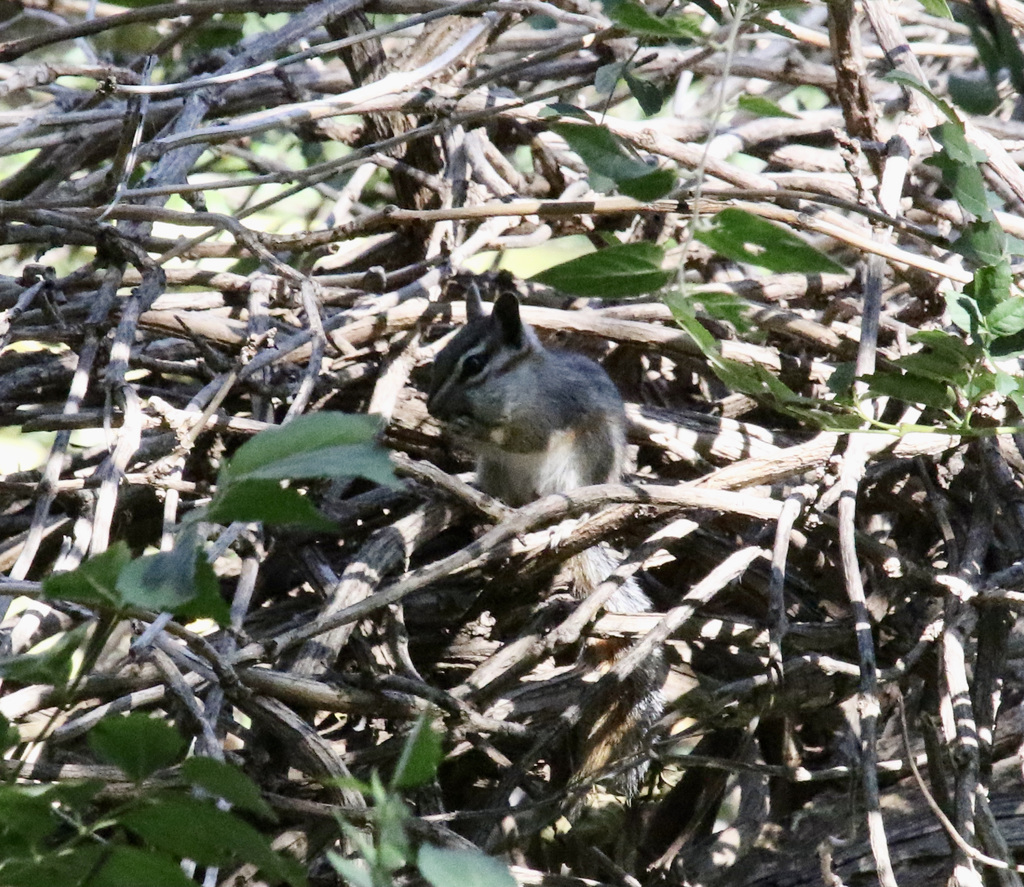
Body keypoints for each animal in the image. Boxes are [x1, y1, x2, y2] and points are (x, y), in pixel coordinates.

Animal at [427, 283, 665, 799]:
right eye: (440, 355)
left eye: (474, 364)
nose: (433, 408)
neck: (521, 386)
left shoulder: (546, 420)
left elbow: (516, 437)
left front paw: (465, 427)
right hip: (500, 475)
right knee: (501, 493)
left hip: (579, 469)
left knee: (572, 507)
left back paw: (558, 526)